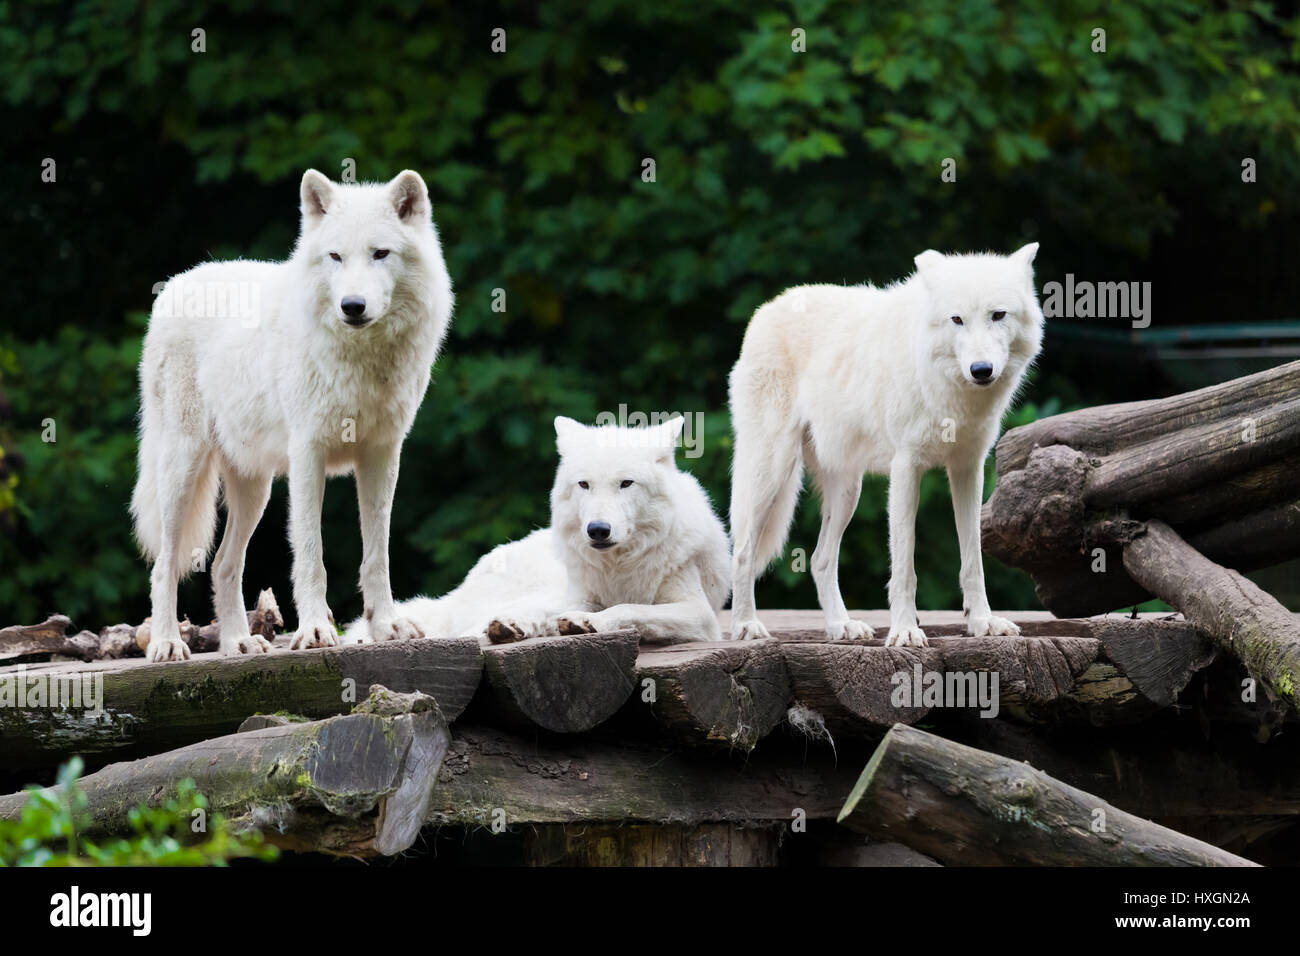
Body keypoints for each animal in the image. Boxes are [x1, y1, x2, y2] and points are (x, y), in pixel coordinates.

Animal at [131, 169, 453, 662]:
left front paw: (387, 627)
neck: (363, 361)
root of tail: (175, 283)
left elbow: (377, 554)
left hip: (254, 488)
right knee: (164, 564)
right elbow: (311, 554)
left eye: (380, 253)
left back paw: (239, 643)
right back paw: (167, 643)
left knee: (223, 565)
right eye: (335, 256)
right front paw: (316, 631)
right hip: (182, 471)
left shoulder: (382, 455)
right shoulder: (308, 454)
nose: (352, 306)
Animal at [344, 415, 730, 645]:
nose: (598, 530)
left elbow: (631, 609)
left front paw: (588, 622)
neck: (620, 566)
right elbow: (599, 608)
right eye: (584, 484)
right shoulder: (580, 594)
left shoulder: (698, 614)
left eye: (626, 483)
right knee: (477, 624)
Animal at [728, 244, 1043, 647]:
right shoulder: (906, 467)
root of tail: (768, 308)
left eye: (998, 315)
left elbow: (973, 561)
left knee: (819, 560)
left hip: (848, 491)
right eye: (957, 320)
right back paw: (746, 625)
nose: (981, 369)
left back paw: (841, 627)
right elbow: (905, 567)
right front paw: (905, 630)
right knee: (743, 553)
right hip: (772, 471)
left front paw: (982, 623)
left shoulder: (968, 468)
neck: (949, 393)